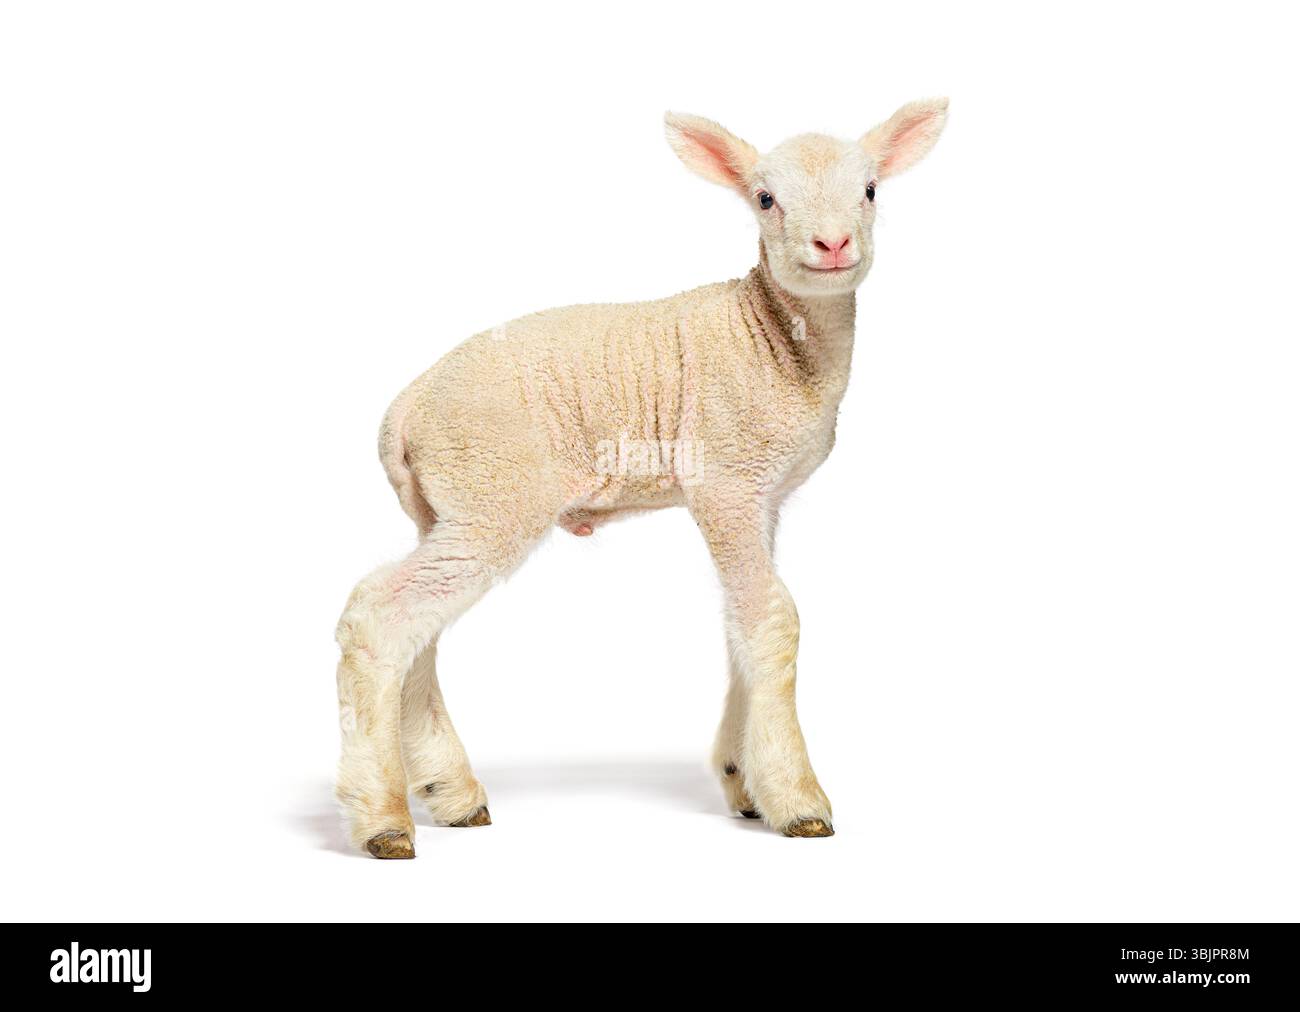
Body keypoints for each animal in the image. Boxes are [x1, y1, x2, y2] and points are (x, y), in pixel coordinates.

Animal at [335, 99, 949, 858]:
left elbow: (741, 622)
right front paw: (798, 799)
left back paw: (450, 793)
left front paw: (743, 778)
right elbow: (773, 618)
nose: (832, 244)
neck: (775, 337)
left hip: (444, 506)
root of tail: (403, 409)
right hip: (492, 494)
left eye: (870, 189)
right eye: (764, 198)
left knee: (417, 629)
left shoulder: (762, 497)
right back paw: (383, 819)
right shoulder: (726, 479)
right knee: (379, 615)